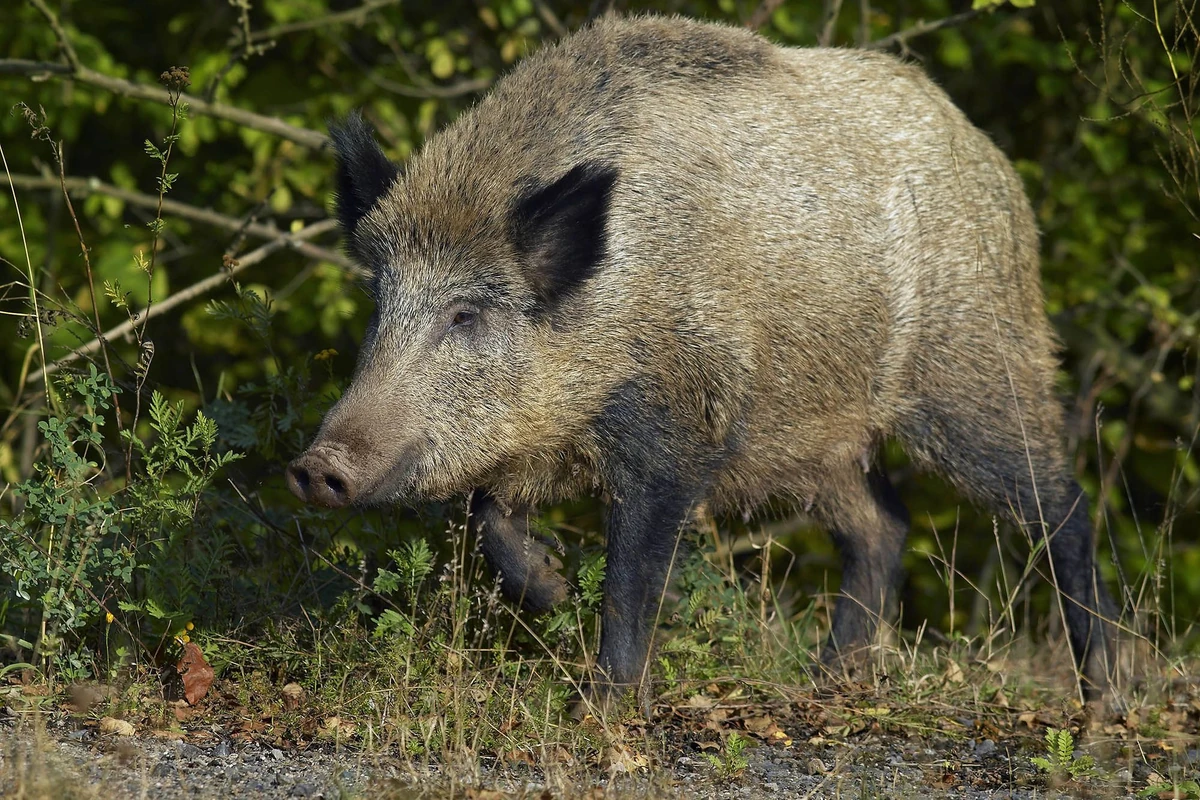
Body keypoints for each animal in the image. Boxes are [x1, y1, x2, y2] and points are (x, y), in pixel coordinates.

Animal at [287, 13, 1117, 711]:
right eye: (379, 299)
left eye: (467, 313)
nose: (316, 466)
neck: (611, 311)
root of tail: (994, 166)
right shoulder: (542, 443)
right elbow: (489, 516)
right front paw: (555, 589)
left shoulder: (683, 425)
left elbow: (633, 576)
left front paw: (604, 709)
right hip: (814, 436)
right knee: (883, 524)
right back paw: (824, 683)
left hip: (976, 368)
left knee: (1062, 506)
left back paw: (1103, 700)